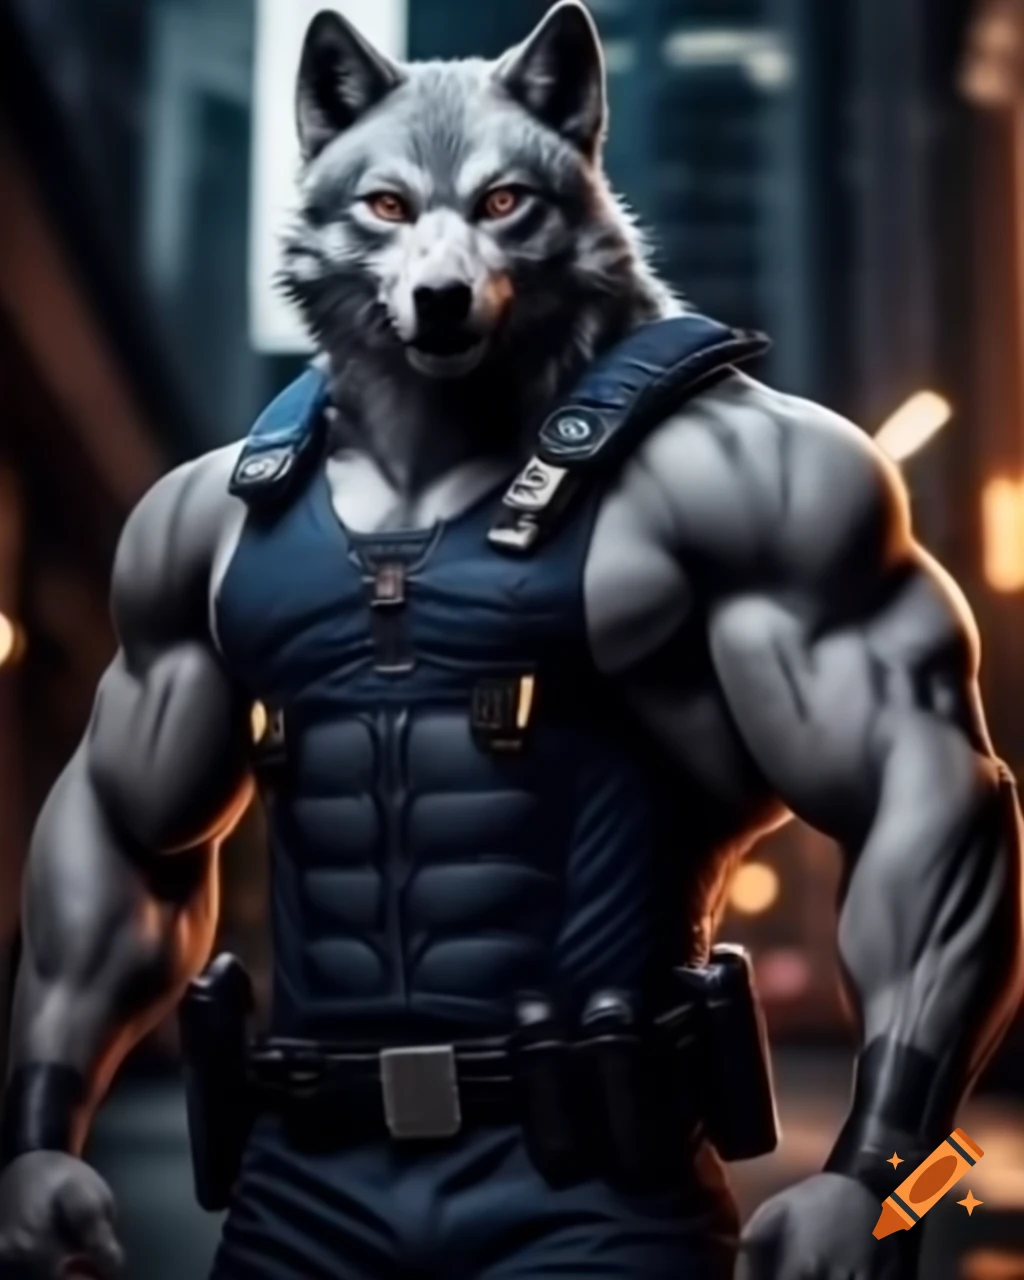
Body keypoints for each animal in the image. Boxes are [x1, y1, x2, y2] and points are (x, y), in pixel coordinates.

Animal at [0, 5, 1020, 1280]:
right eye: (386, 206)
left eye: (503, 202)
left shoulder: (802, 493)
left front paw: (845, 1200)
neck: (428, 449)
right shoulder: (161, 564)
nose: (439, 298)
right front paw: (43, 1185)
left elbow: (904, 780)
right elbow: (130, 821)